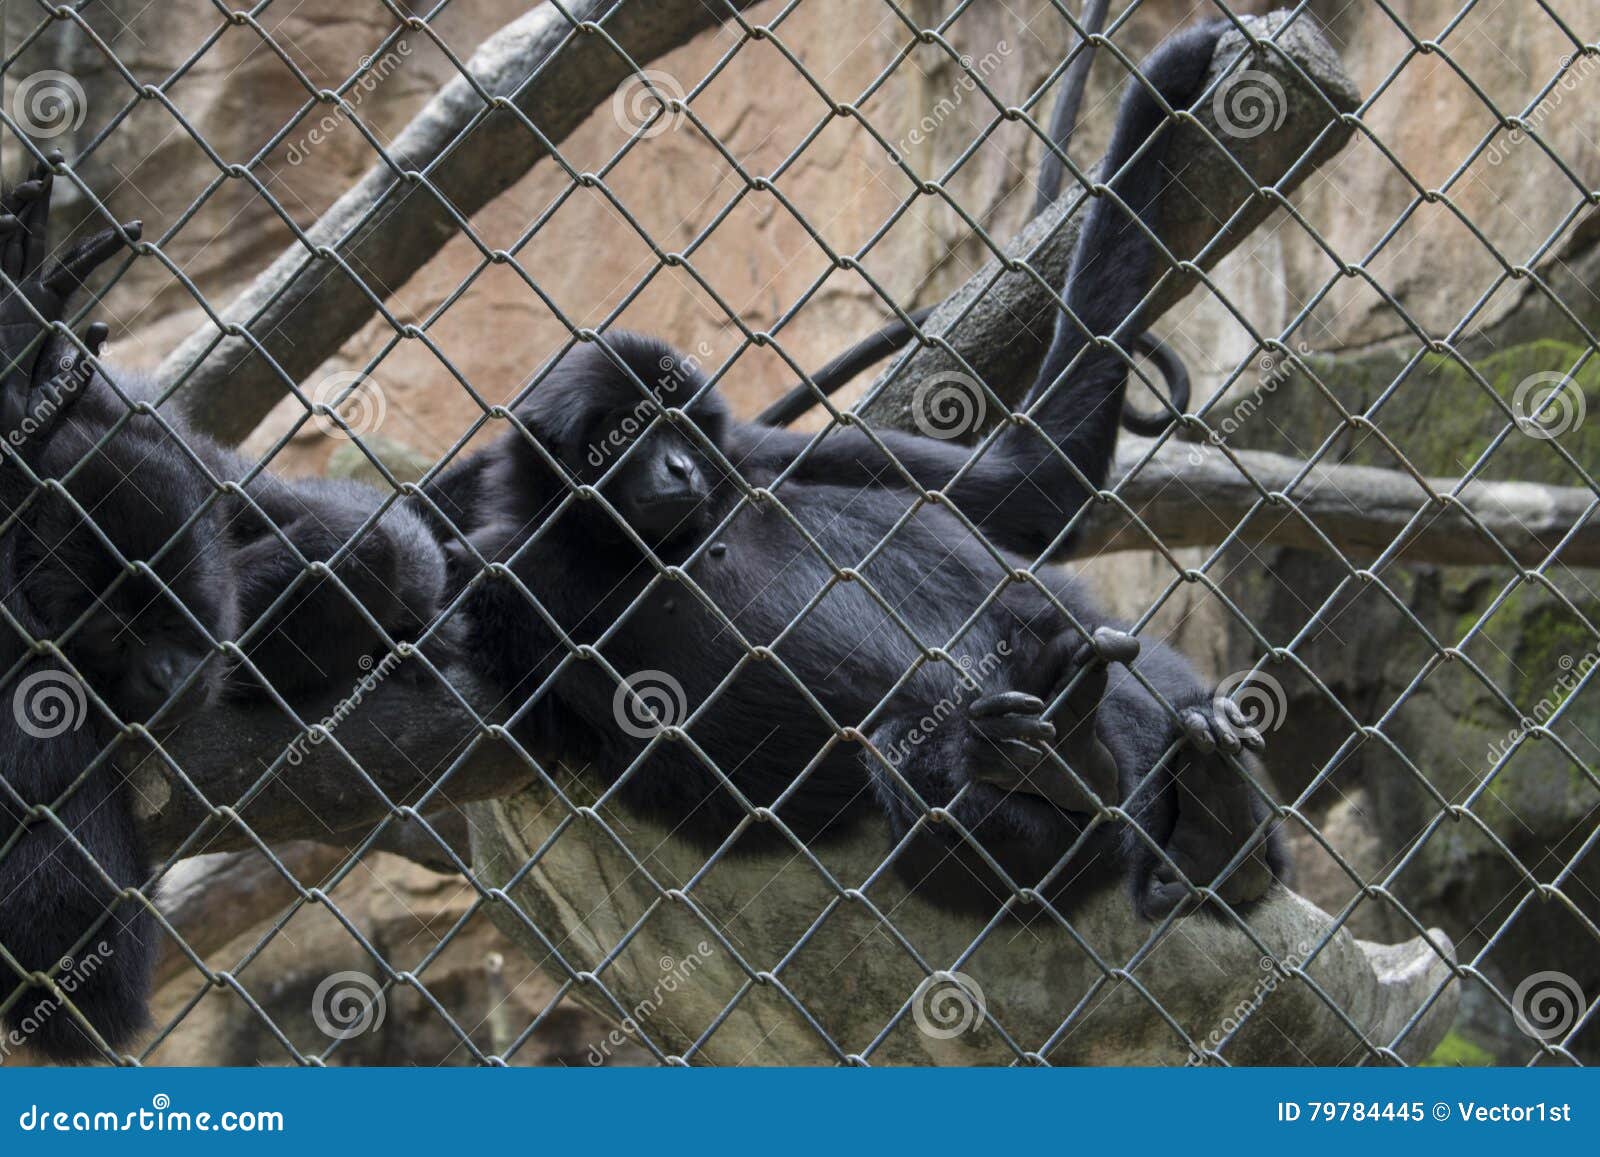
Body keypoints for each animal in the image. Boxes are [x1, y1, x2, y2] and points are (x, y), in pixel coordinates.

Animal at [0, 158, 449, 1062]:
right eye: (113, 633)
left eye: (172, 616)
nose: (166, 670)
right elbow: (71, 944)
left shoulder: (185, 457)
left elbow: (381, 544)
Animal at [431, 22, 1285, 919]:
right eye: (626, 432)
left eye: (680, 427)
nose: (680, 467)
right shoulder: (504, 569)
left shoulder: (760, 450)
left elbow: (1036, 483)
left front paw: (1165, 85)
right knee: (912, 753)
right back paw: (1078, 776)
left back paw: (1207, 821)